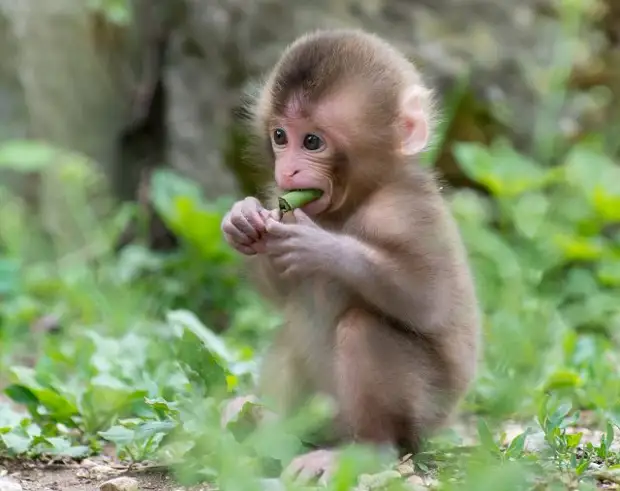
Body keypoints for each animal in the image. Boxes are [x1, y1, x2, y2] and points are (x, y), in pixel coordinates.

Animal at [220, 28, 482, 486]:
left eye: (312, 141)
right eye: (279, 136)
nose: (287, 171)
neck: (357, 198)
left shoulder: (405, 210)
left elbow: (428, 299)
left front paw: (322, 247)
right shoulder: (282, 199)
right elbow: (281, 289)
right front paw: (244, 219)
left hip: (424, 413)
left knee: (363, 327)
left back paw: (364, 451)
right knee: (292, 330)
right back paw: (262, 422)